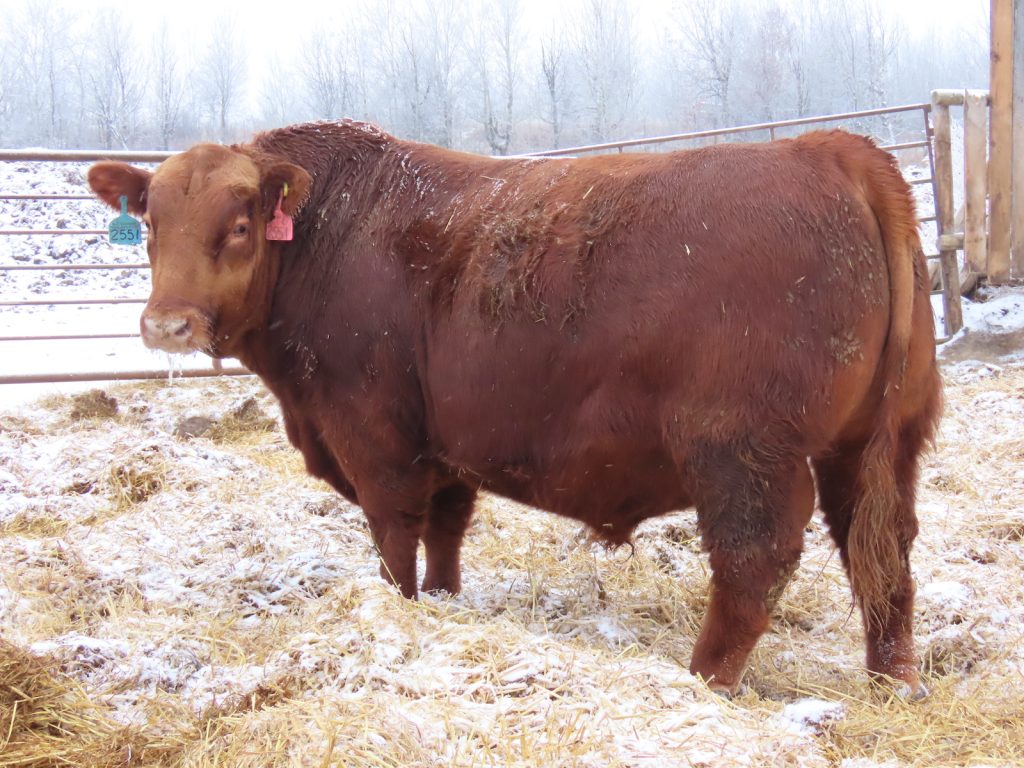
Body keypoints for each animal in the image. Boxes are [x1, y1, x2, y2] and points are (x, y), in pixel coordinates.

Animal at [88, 121, 941, 698]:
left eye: (238, 227)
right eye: (151, 226)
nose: (167, 325)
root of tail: (828, 148)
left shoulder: (376, 440)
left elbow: (395, 539)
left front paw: (401, 611)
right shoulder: (446, 448)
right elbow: (445, 534)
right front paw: (443, 603)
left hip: (741, 452)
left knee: (755, 562)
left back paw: (703, 680)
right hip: (884, 442)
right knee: (884, 551)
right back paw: (894, 681)